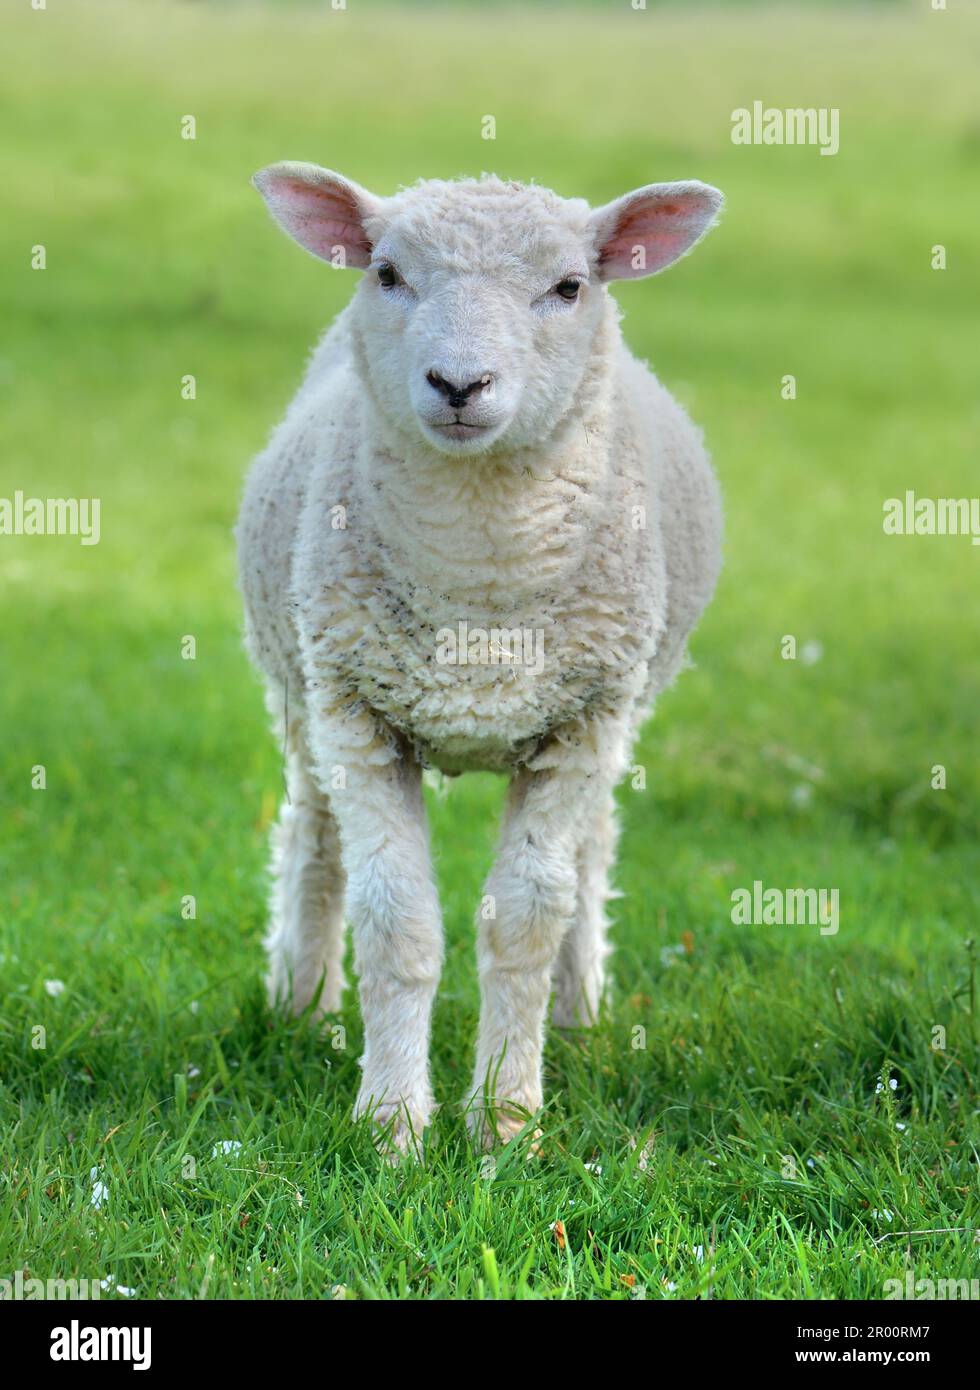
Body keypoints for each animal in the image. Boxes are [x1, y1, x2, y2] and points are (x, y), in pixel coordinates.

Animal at [237, 166, 724, 1155]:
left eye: (570, 286)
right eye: (387, 273)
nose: (459, 383)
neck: (479, 587)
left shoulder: (581, 722)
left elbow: (526, 920)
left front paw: (507, 1121)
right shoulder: (358, 713)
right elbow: (398, 925)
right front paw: (392, 1126)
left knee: (590, 855)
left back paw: (578, 1018)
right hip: (301, 695)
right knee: (314, 842)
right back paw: (302, 1011)